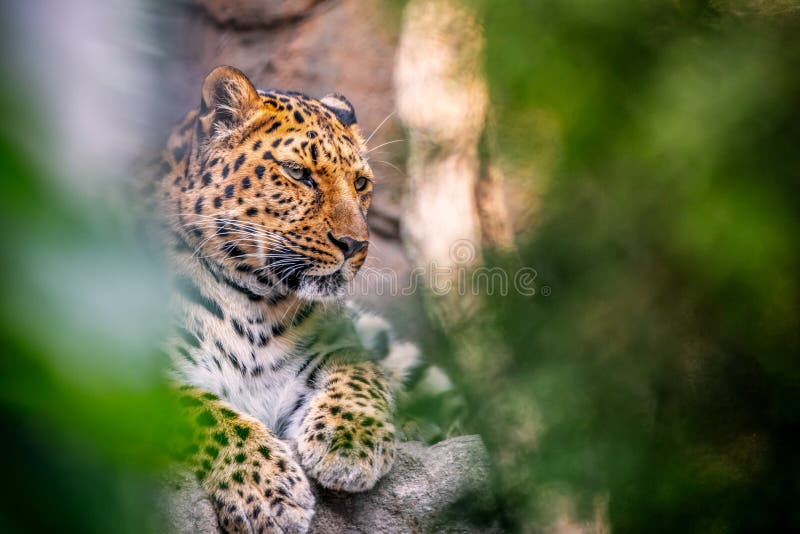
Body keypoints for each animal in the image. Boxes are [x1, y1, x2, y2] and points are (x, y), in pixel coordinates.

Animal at [150, 66, 421, 533]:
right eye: (298, 173)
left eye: (361, 183)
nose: (355, 244)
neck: (253, 301)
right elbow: (205, 412)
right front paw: (267, 491)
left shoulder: (337, 341)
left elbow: (360, 370)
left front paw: (350, 444)